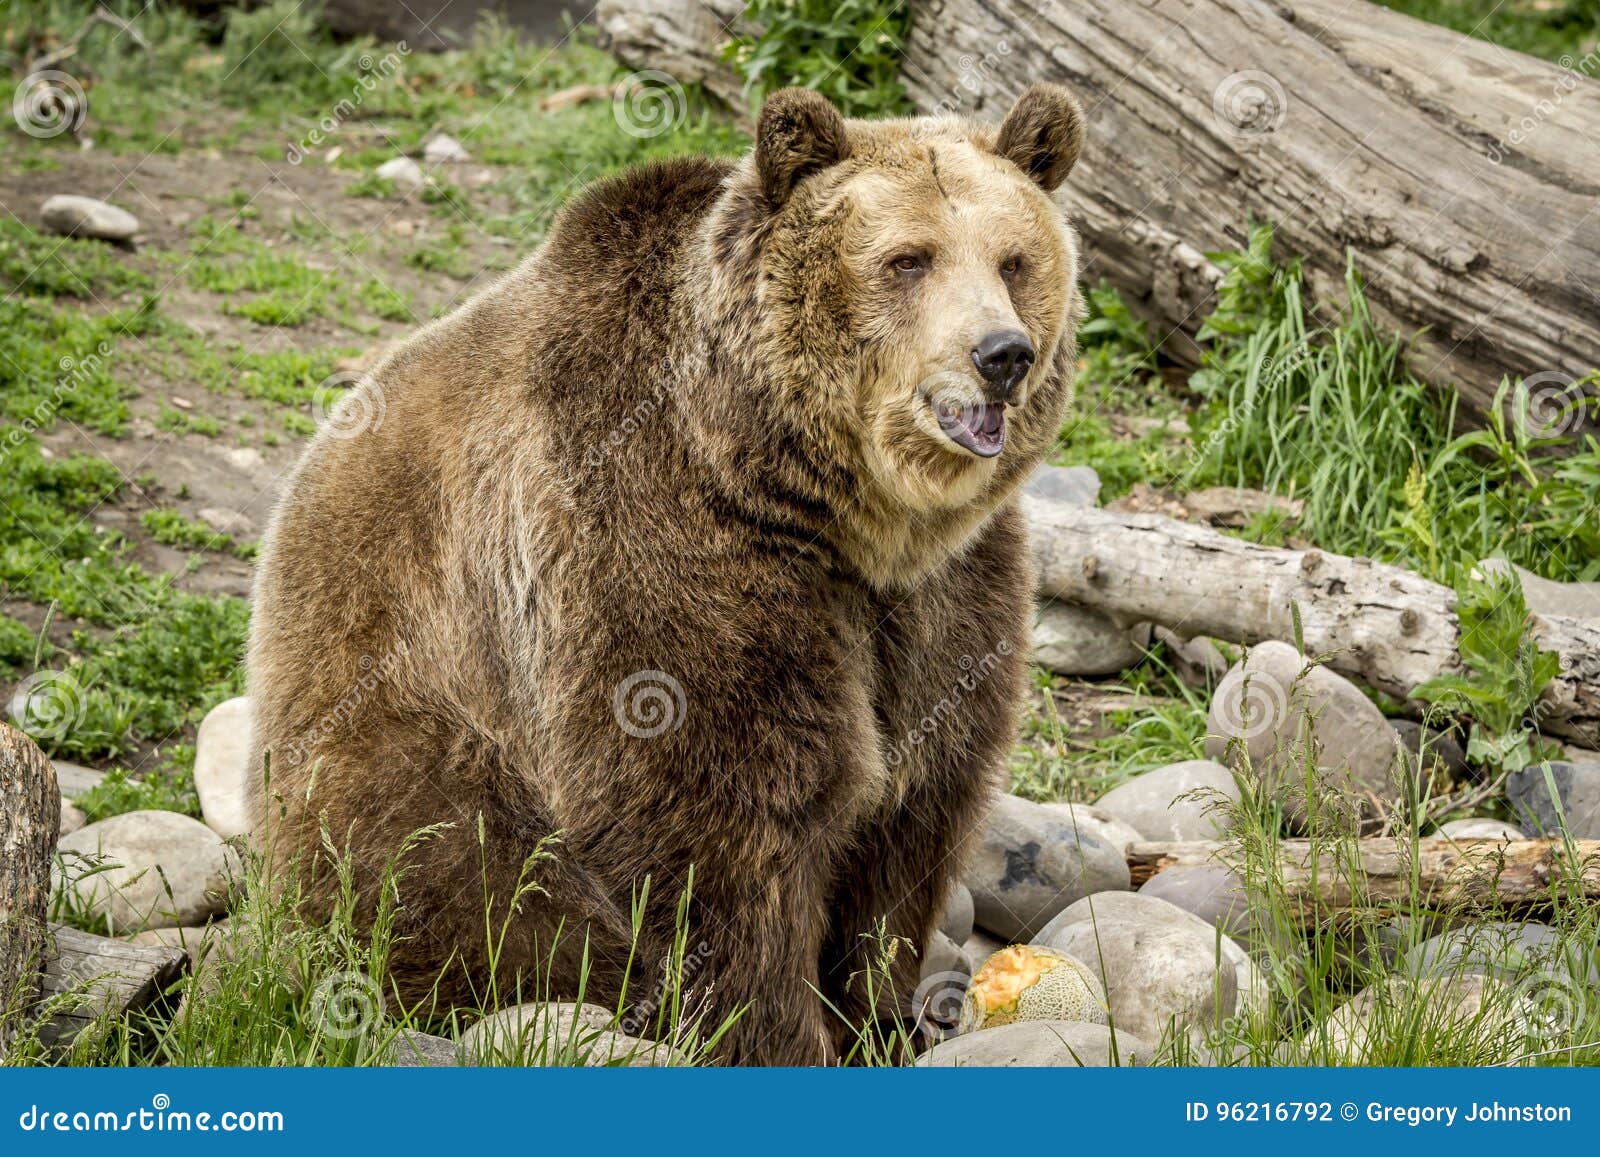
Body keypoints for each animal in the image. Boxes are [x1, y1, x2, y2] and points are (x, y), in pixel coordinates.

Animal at [247, 83, 1085, 1066]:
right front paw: (777, 1033)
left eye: (1014, 259)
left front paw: (882, 1017)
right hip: (409, 723)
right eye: (907, 259)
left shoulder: (943, 594)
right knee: (460, 875)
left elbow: (917, 802)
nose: (1002, 353)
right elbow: (724, 815)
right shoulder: (652, 537)